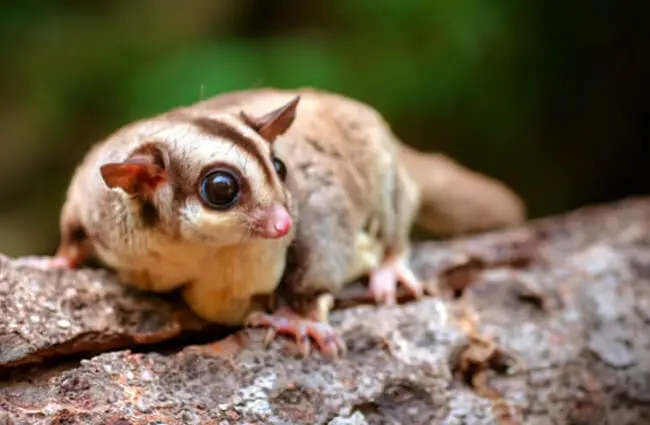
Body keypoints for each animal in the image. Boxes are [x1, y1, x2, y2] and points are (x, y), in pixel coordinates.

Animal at [15, 87, 525, 358]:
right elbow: (71, 234)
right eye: (222, 188)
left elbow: (320, 247)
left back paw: (389, 265)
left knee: (395, 212)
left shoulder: (312, 210)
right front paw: (54, 264)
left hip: (385, 167)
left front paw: (297, 320)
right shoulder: (89, 196)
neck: (187, 248)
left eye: (280, 169)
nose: (283, 223)